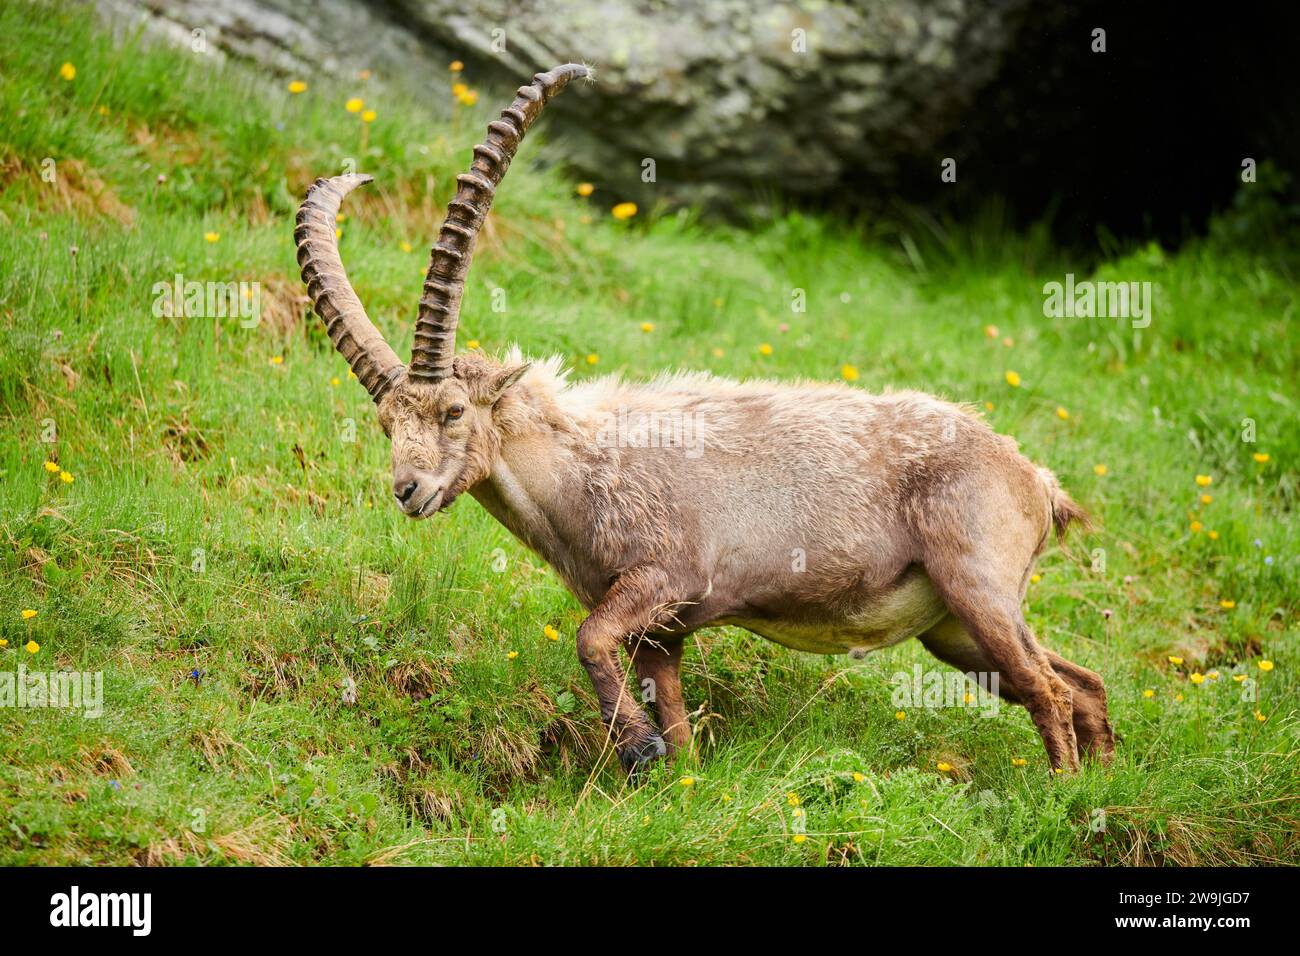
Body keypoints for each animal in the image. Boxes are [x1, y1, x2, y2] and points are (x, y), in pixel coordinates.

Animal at [295, 64, 1115, 773]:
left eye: (455, 409)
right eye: (385, 424)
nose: (407, 491)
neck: (578, 471)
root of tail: (1034, 478)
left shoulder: (666, 577)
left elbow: (589, 640)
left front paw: (636, 747)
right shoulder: (660, 634)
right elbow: (672, 710)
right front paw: (671, 770)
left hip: (976, 583)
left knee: (1046, 687)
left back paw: (1061, 797)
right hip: (952, 627)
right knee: (1083, 684)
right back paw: (1097, 792)